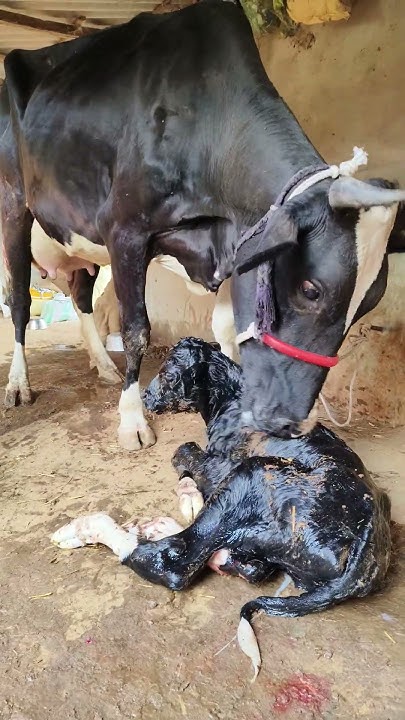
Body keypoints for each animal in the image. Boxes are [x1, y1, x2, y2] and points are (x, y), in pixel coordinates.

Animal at [1, 0, 405, 453]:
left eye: (368, 304)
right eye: (311, 289)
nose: (291, 424)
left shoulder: (236, 247)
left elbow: (227, 331)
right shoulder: (124, 230)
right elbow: (136, 329)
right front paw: (132, 421)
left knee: (80, 293)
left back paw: (103, 365)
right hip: (13, 203)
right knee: (19, 300)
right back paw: (19, 384)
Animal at [52, 338, 392, 678]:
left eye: (168, 373)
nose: (146, 397)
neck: (233, 398)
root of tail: (366, 552)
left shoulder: (220, 465)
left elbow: (184, 451)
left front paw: (188, 490)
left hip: (252, 474)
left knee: (173, 561)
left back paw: (87, 529)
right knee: (243, 563)